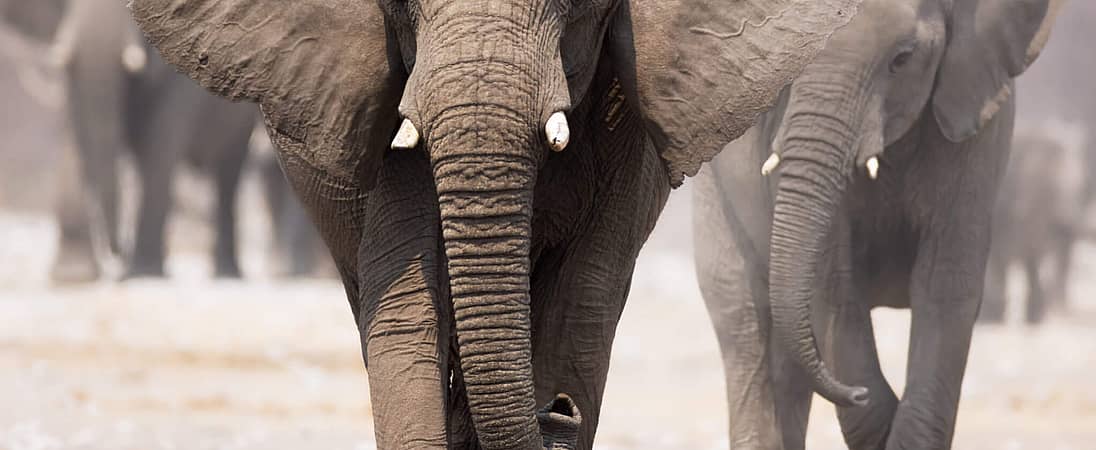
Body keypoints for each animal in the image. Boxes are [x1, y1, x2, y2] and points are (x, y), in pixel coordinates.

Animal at [48, 0, 260, 282]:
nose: (117, 256)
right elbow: (77, 137)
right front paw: (74, 276)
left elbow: (160, 146)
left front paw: (143, 273)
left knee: (228, 174)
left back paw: (226, 274)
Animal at [692, 0, 1061, 448]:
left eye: (901, 60)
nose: (854, 392)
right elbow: (832, 288)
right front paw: (872, 407)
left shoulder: (976, 123)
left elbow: (945, 285)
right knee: (745, 324)